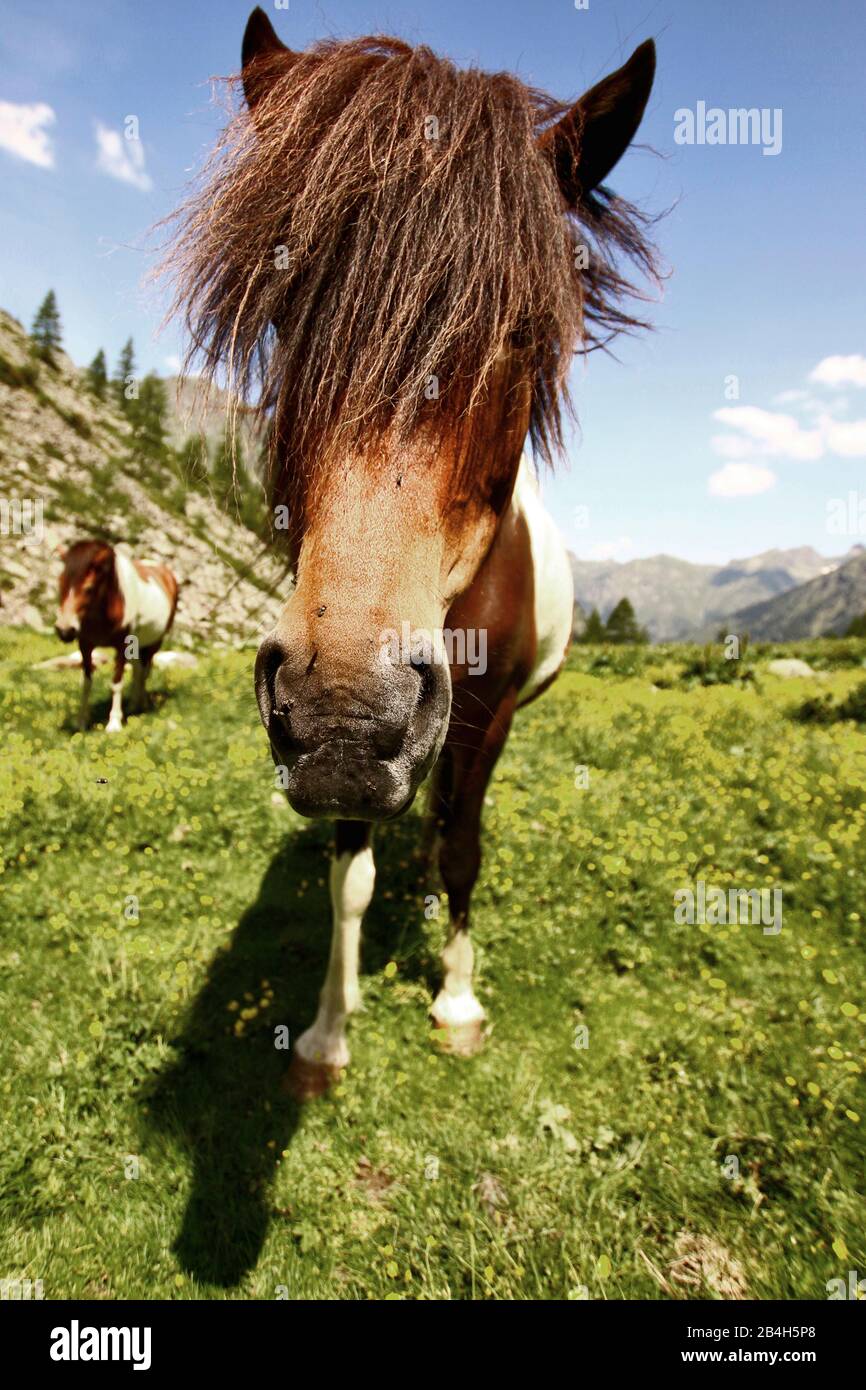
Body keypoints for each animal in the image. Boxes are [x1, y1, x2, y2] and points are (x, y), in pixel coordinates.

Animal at [55, 540, 179, 733]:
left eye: (88, 589)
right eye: (60, 584)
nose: (64, 630)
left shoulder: (122, 646)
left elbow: (116, 682)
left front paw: (114, 723)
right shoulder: (85, 645)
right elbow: (86, 682)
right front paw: (81, 721)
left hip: (154, 643)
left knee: (144, 671)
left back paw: (141, 704)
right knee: (138, 670)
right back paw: (135, 704)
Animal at [164, 7, 658, 1098]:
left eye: (521, 335)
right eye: (284, 307)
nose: (349, 711)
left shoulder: (488, 712)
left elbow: (464, 848)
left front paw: (458, 1002)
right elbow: (349, 874)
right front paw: (326, 1030)